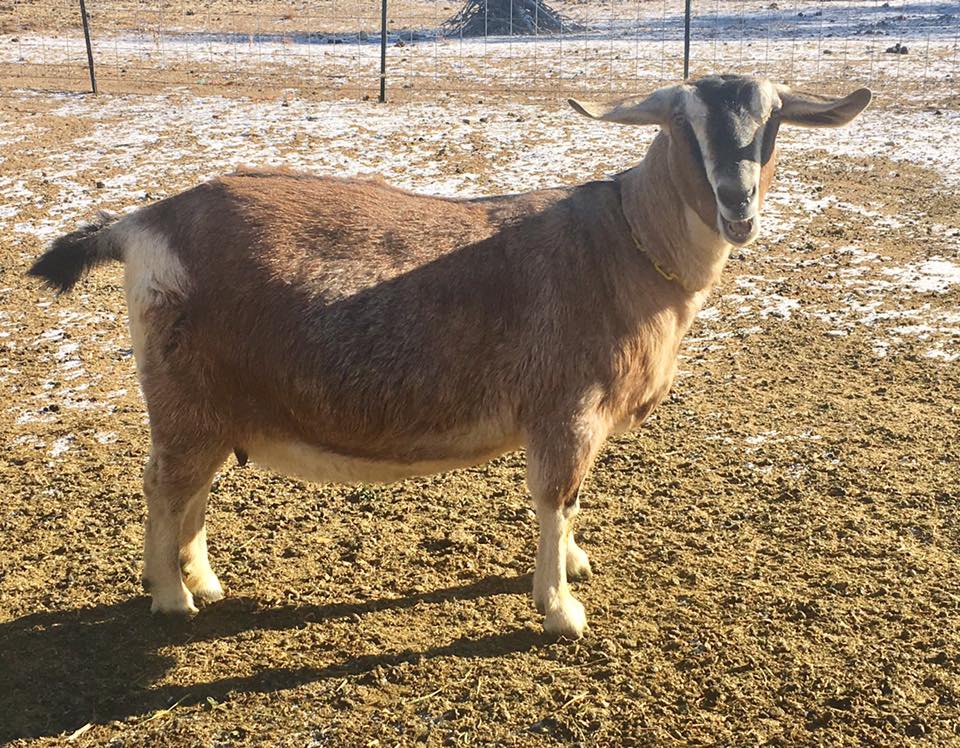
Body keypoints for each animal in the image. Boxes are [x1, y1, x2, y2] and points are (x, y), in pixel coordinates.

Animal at [28, 75, 871, 638]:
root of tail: (144, 223)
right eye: (682, 129)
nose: (737, 208)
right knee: (165, 486)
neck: (626, 244)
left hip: (214, 403)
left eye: (773, 127)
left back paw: (200, 581)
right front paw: (560, 610)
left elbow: (572, 505)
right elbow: (555, 499)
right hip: (185, 397)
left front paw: (574, 564)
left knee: (186, 488)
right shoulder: (565, 407)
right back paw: (171, 597)